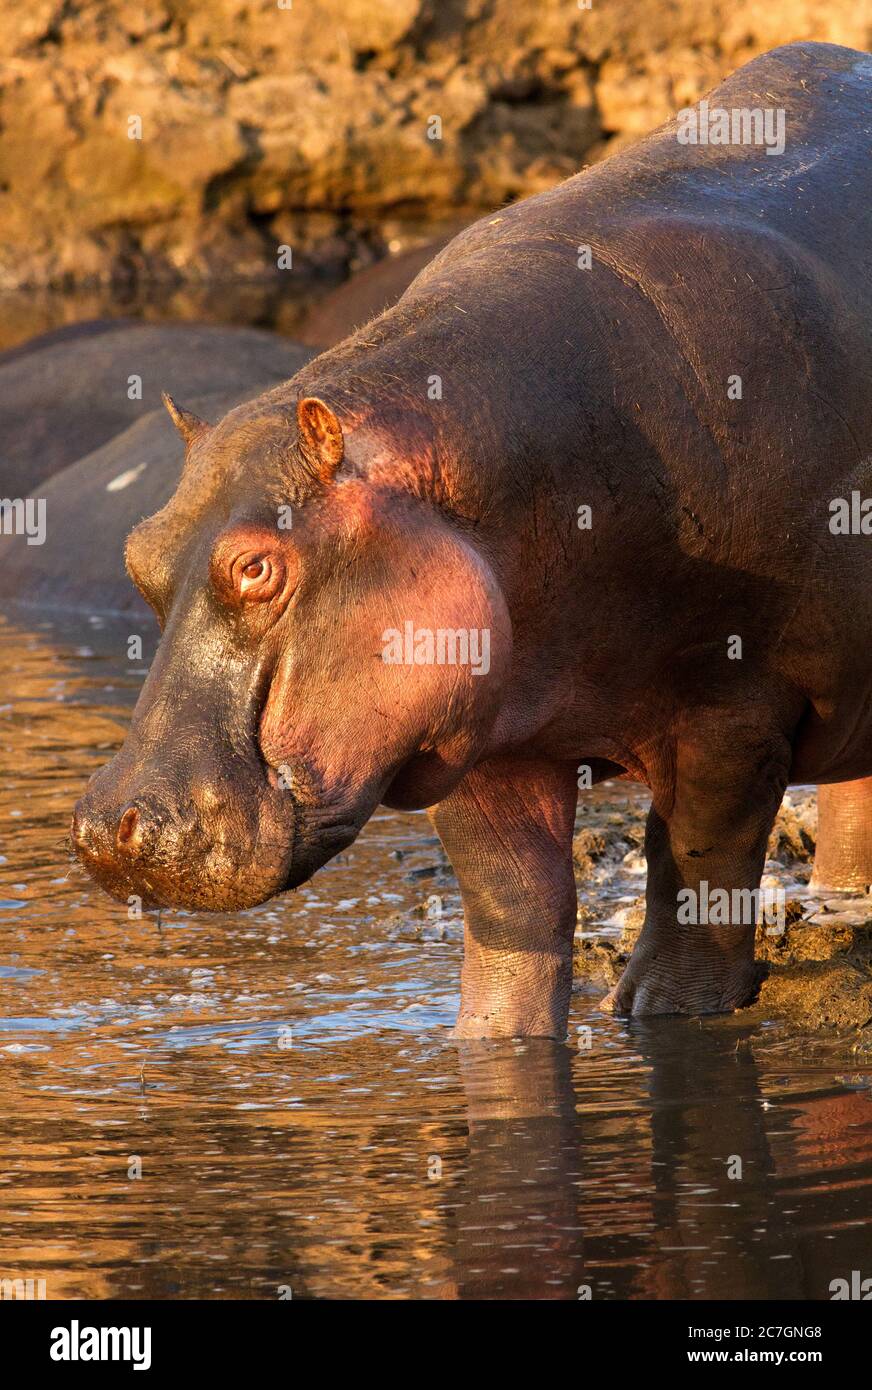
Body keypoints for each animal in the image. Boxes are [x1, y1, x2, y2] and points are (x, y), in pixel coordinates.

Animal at [71, 42, 872, 1037]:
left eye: (257, 566)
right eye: (139, 553)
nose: (105, 827)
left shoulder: (735, 708)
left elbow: (695, 875)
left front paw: (664, 1014)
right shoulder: (476, 735)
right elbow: (513, 914)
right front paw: (492, 1041)